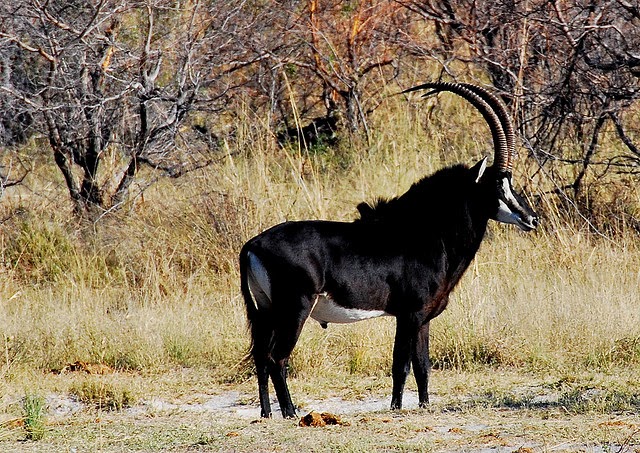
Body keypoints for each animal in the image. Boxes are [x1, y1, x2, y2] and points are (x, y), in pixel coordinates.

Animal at [239, 82, 538, 418]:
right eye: (495, 187)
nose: (531, 219)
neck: (426, 231)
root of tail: (253, 244)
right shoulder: (409, 315)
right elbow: (401, 366)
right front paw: (396, 408)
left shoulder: (423, 320)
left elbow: (422, 366)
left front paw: (423, 405)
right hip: (294, 309)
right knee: (277, 358)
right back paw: (291, 413)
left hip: (265, 311)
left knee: (261, 357)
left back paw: (266, 414)